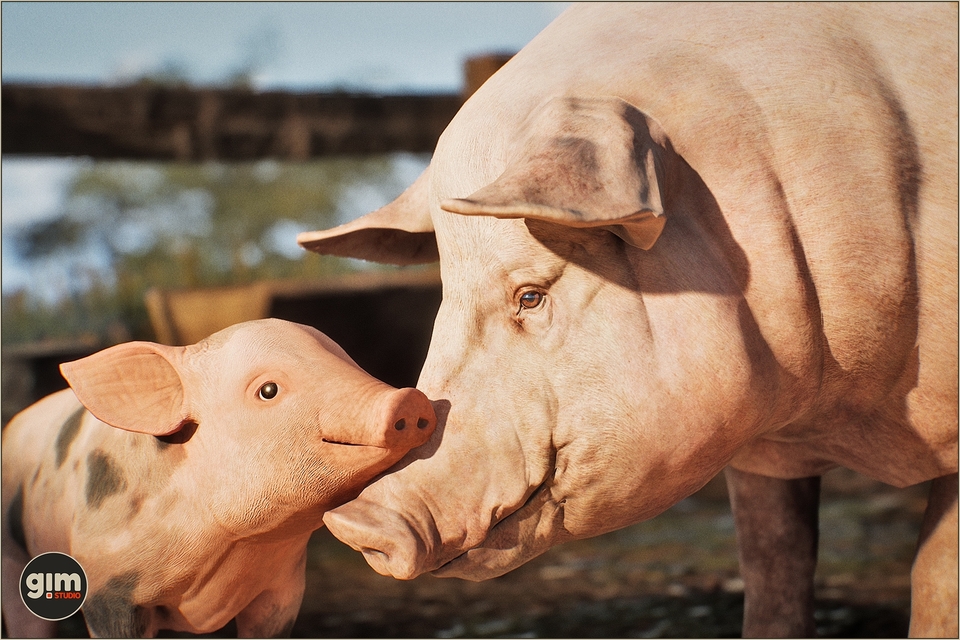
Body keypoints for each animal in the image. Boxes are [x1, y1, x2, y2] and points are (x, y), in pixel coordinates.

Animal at [1, 318, 435, 638]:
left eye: (349, 361)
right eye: (268, 390)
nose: (410, 398)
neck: (230, 543)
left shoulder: (283, 590)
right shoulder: (109, 591)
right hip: (12, 559)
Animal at [297, 3, 958, 637]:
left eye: (531, 296)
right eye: (445, 295)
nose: (355, 521)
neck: (842, 417)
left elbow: (933, 578)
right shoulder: (761, 454)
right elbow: (772, 572)